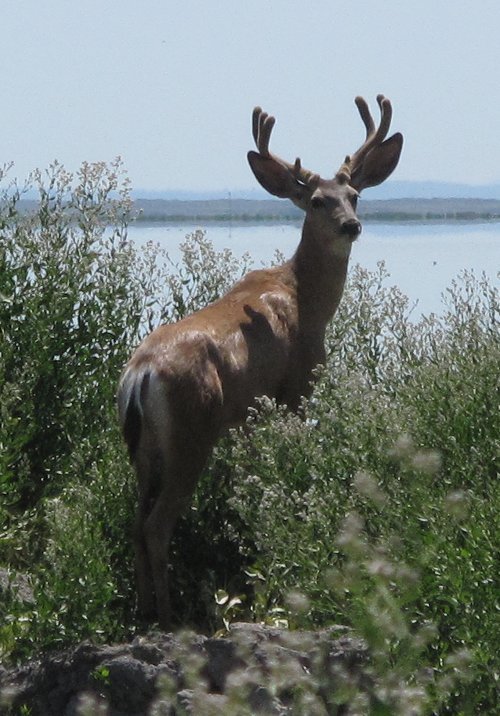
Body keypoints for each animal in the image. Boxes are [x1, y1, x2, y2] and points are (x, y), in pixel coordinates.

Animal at [117, 95, 403, 630]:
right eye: (317, 201)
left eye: (355, 195)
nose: (351, 226)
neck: (306, 298)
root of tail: (139, 376)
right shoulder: (295, 386)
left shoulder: (248, 415)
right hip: (191, 431)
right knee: (157, 524)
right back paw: (168, 615)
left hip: (143, 449)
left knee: (135, 520)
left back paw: (143, 610)